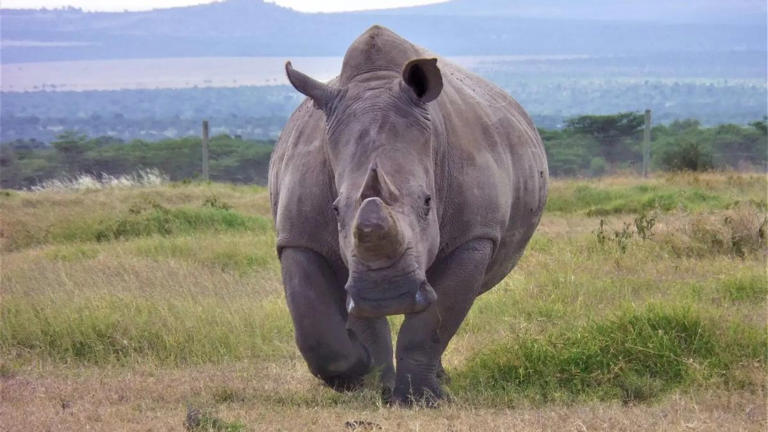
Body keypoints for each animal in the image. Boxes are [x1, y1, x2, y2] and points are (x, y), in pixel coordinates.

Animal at [268, 25, 548, 404]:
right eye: (335, 210)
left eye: (428, 202)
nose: (386, 295)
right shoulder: (299, 236)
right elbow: (321, 332)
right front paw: (366, 378)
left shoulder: (475, 236)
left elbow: (433, 321)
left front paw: (422, 400)